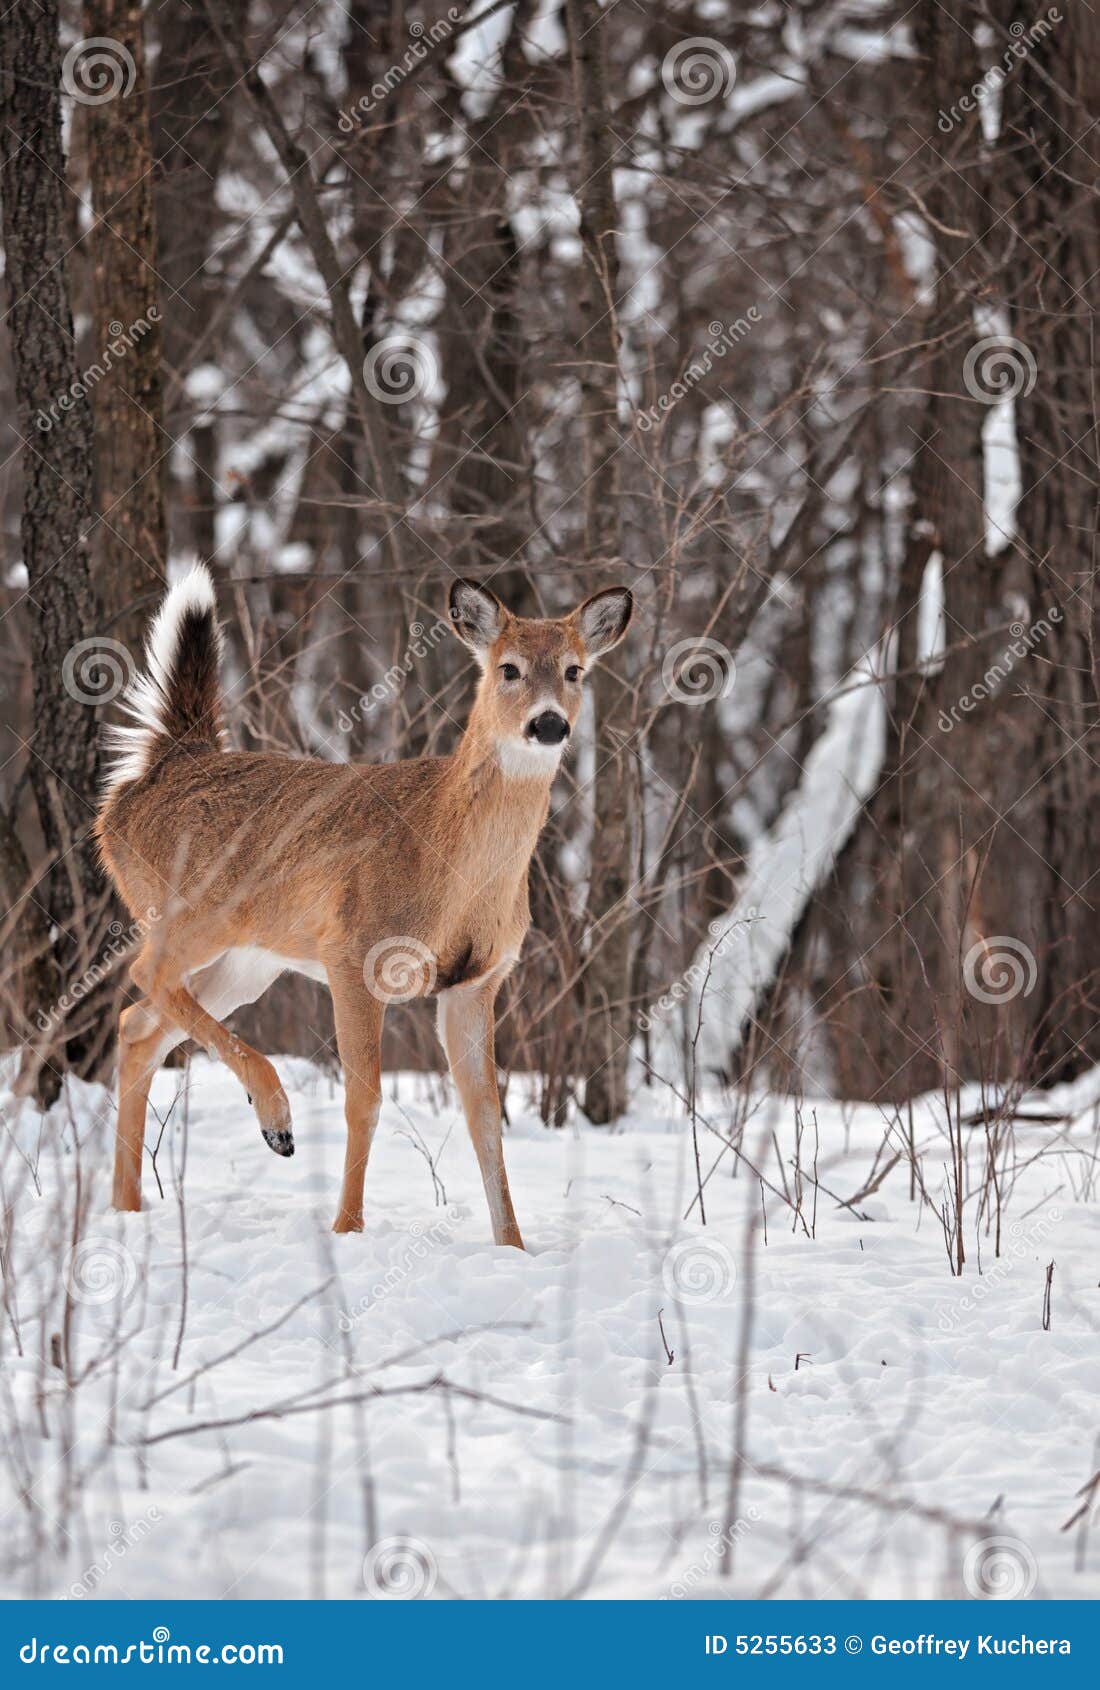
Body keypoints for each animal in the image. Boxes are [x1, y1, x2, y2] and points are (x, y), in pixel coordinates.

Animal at [95, 568, 632, 1249]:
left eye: (574, 671)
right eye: (507, 668)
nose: (549, 725)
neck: (449, 866)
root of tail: (159, 769)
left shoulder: (475, 981)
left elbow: (486, 1115)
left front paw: (513, 1246)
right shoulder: (354, 955)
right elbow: (364, 1101)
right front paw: (347, 1228)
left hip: (250, 962)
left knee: (138, 1025)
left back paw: (127, 1207)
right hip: (196, 914)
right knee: (146, 976)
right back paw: (275, 1121)